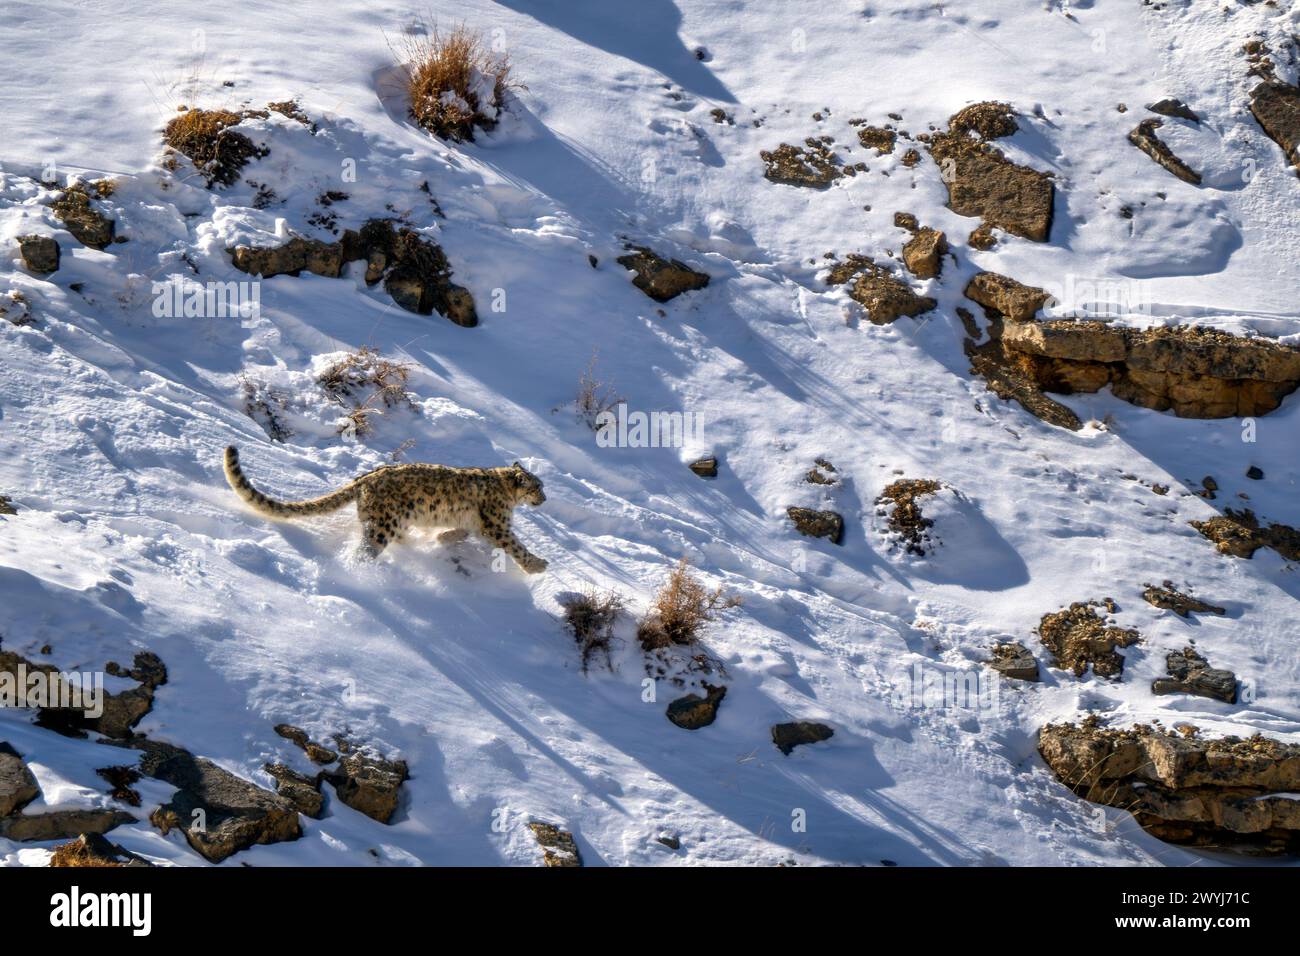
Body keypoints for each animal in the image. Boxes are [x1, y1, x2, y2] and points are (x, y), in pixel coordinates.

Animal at [222, 445, 548, 572]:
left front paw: (443, 538)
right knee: (364, 552)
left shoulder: (477, 523)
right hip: (382, 526)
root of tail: (363, 479)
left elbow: (462, 531)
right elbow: (516, 545)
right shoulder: (497, 524)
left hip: (391, 521)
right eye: (537, 486)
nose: (545, 499)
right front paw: (538, 565)